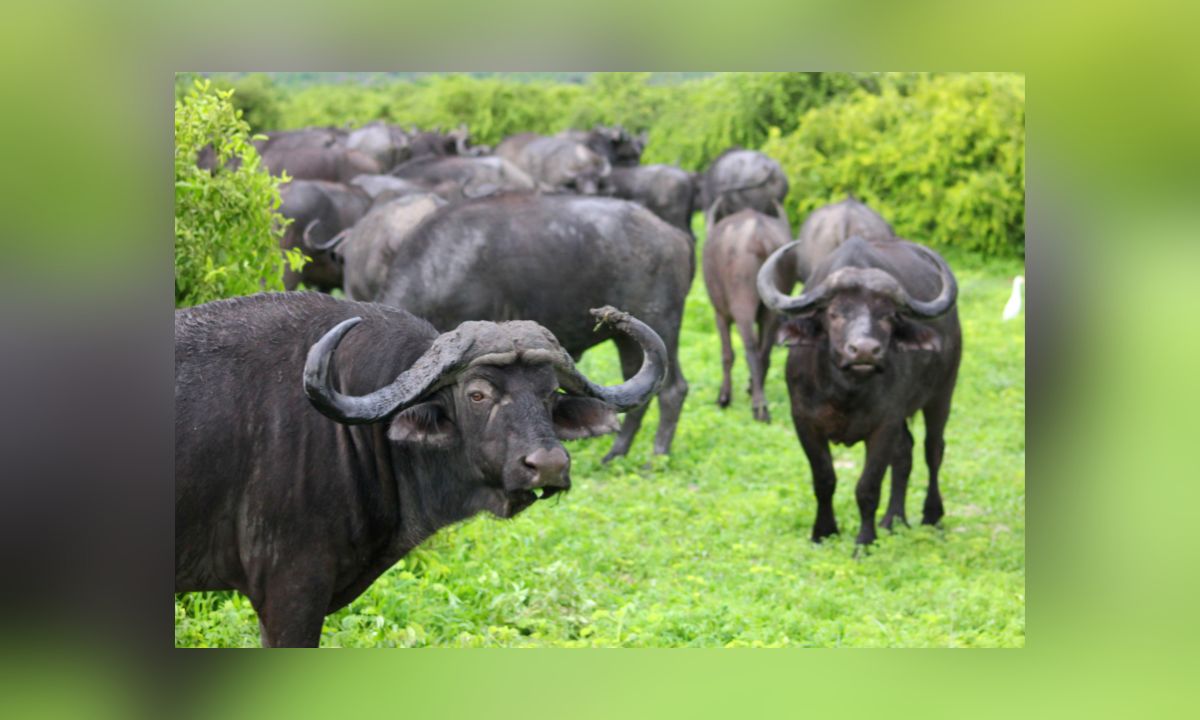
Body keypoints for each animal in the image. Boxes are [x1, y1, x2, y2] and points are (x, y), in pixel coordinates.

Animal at [703, 207, 795, 422]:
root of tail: (759, 237)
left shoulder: (720, 314)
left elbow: (727, 354)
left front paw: (724, 398)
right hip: (771, 308)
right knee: (764, 352)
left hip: (742, 305)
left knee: (750, 349)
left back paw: (759, 408)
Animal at [757, 235, 961, 548]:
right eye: (834, 313)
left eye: (888, 316)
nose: (865, 350)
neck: (845, 392)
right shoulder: (804, 422)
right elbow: (824, 479)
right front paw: (823, 532)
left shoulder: (885, 425)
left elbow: (868, 487)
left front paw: (864, 542)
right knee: (905, 452)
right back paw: (893, 520)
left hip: (942, 394)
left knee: (933, 450)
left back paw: (931, 516)